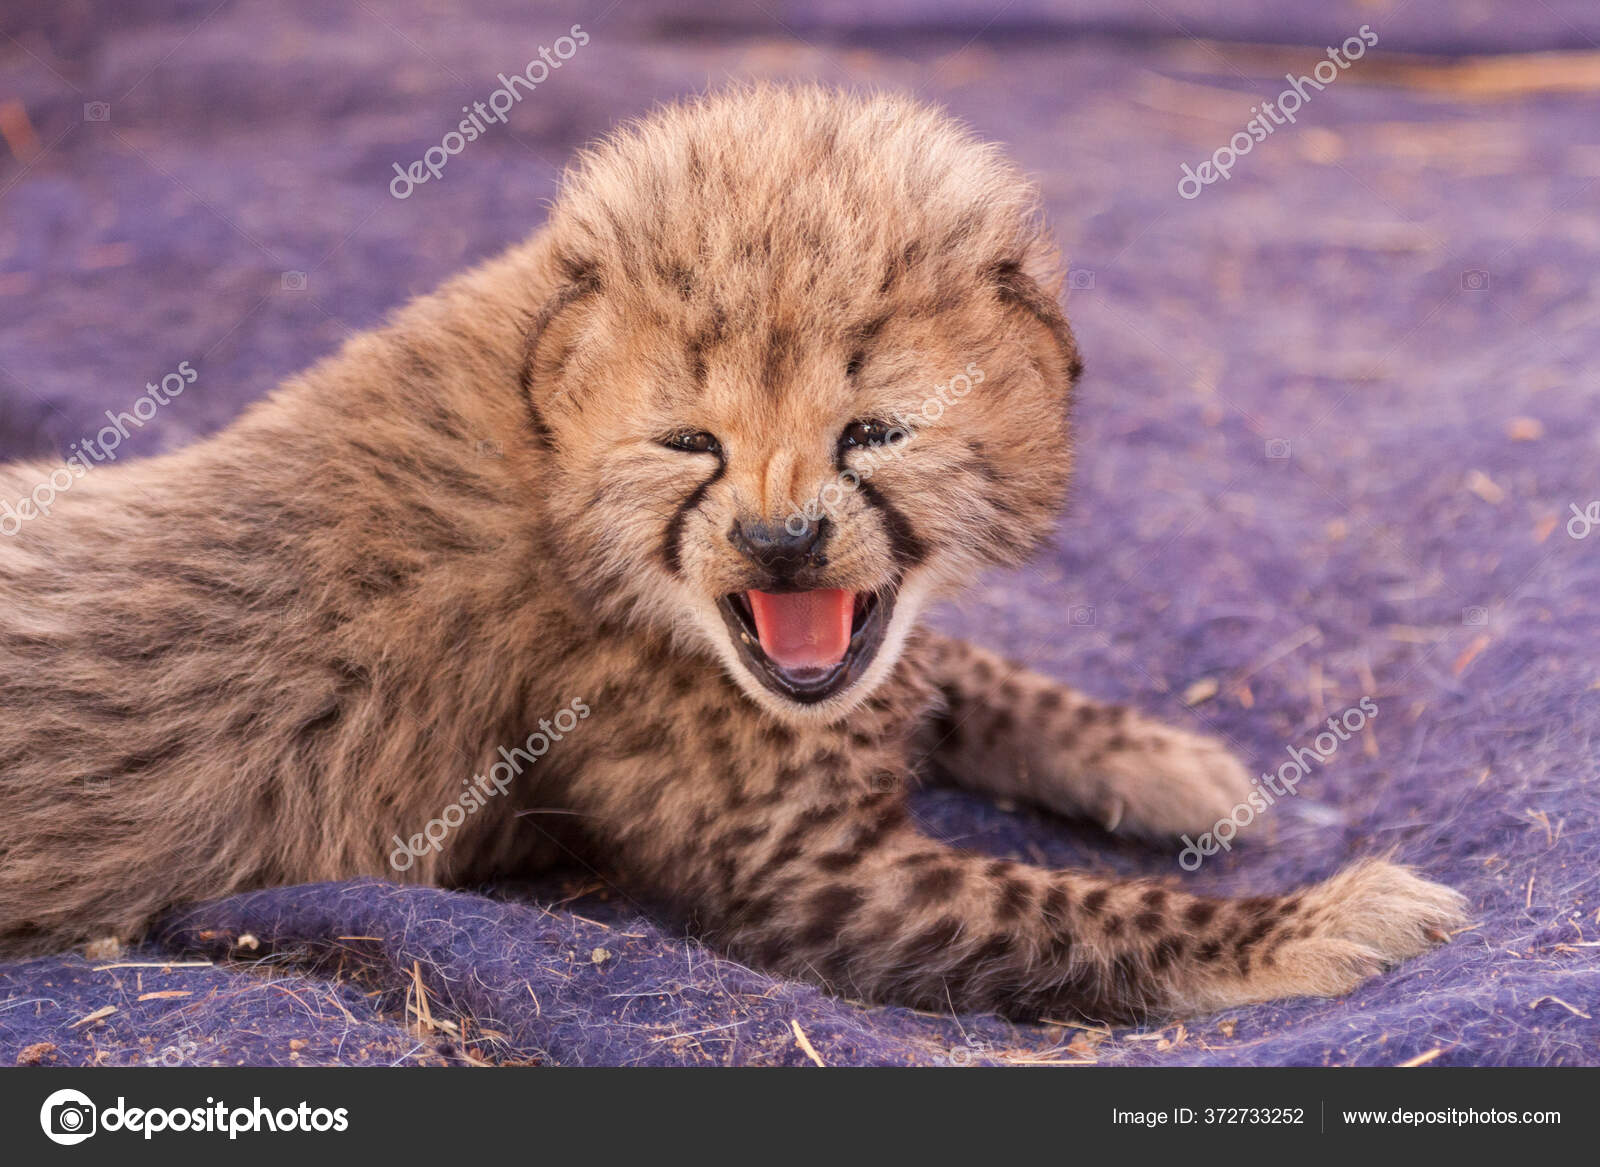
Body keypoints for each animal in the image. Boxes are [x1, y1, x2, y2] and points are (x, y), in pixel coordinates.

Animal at [0, 84, 1466, 1022]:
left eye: (872, 431)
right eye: (690, 442)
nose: (779, 541)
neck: (547, 467)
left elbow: (956, 666)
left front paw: (1158, 756)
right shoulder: (812, 875)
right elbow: (1076, 913)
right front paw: (1321, 917)